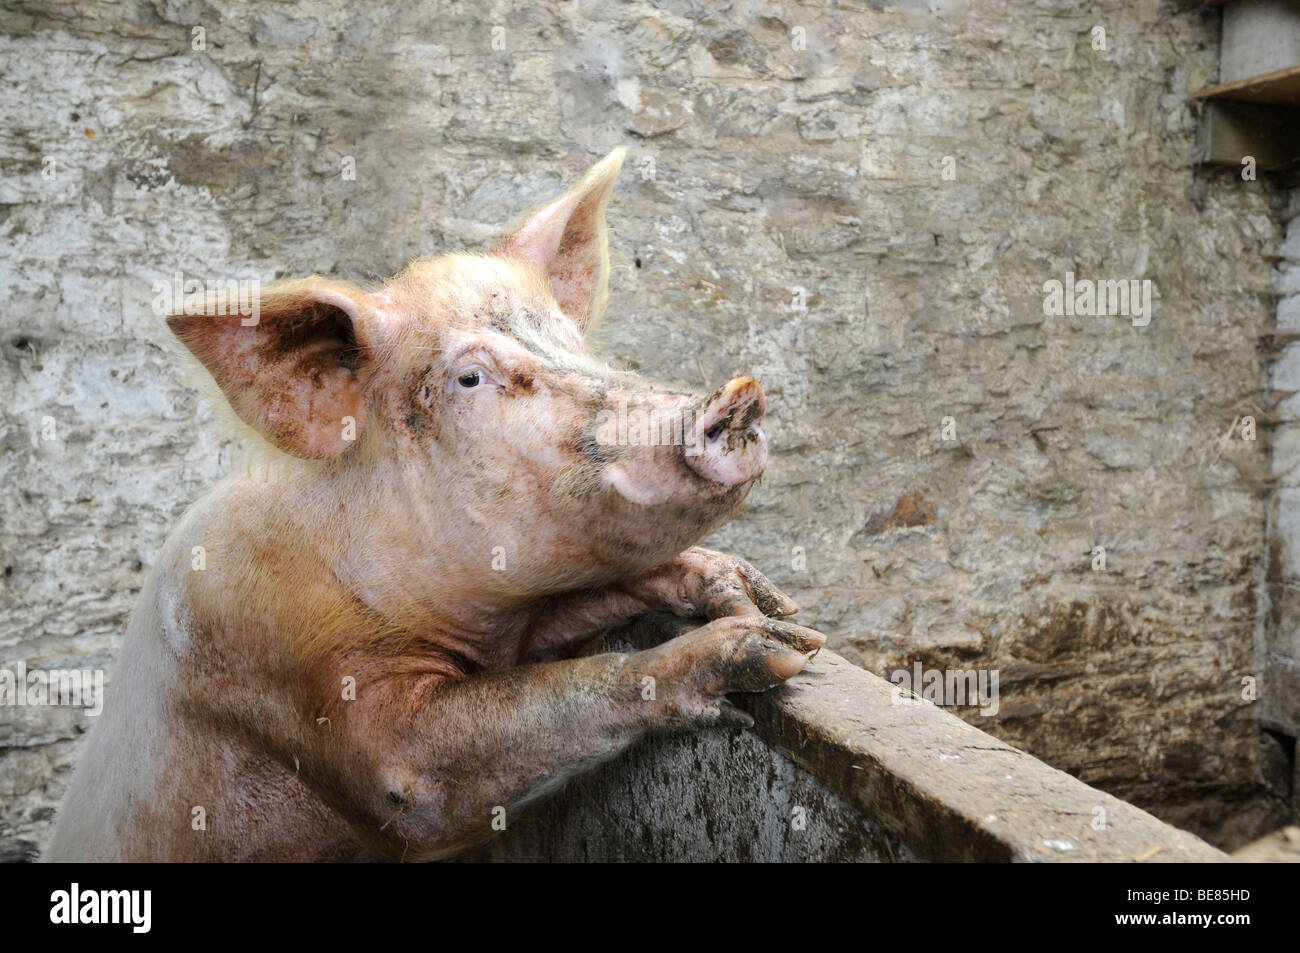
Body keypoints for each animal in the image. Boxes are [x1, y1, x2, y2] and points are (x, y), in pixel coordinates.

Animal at [44, 149, 825, 862]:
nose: (737, 398)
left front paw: (770, 605)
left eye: (575, 341)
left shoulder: (516, 623)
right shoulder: (307, 682)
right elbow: (435, 768)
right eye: (469, 378)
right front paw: (778, 650)